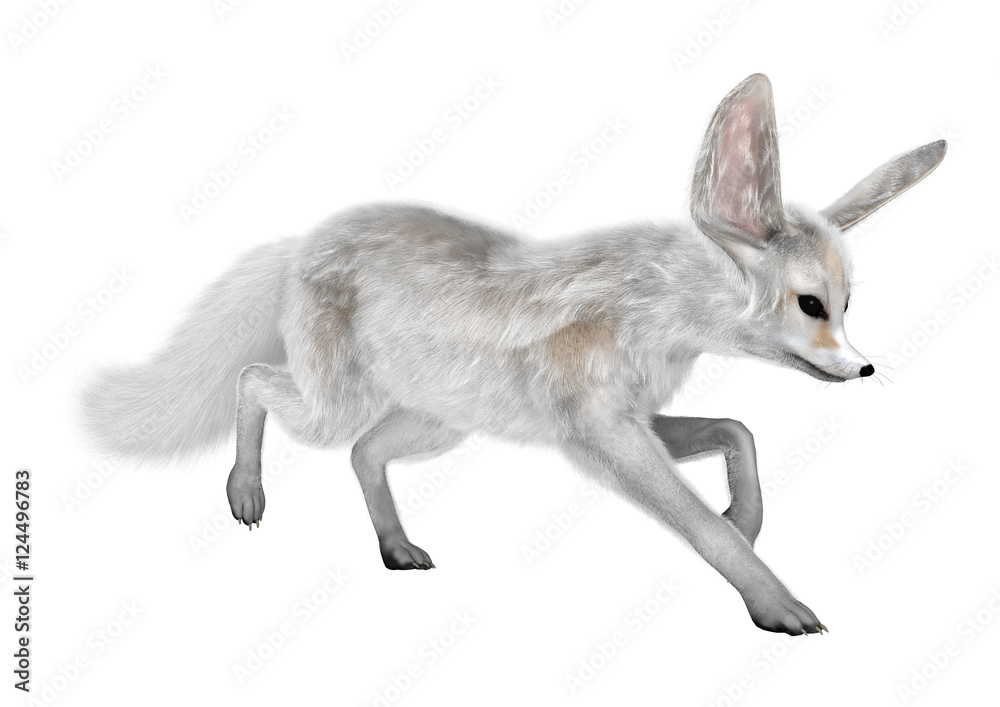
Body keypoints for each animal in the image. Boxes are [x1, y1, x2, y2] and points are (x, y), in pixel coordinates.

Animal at [79, 74, 946, 635]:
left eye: (846, 306)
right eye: (811, 305)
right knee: (255, 381)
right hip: (334, 406)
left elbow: (739, 433)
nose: (865, 368)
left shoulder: (624, 422)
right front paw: (774, 603)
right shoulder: (604, 437)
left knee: (363, 454)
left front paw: (751, 515)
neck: (654, 315)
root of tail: (299, 244)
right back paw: (245, 491)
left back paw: (394, 547)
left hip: (438, 424)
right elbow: (707, 530)